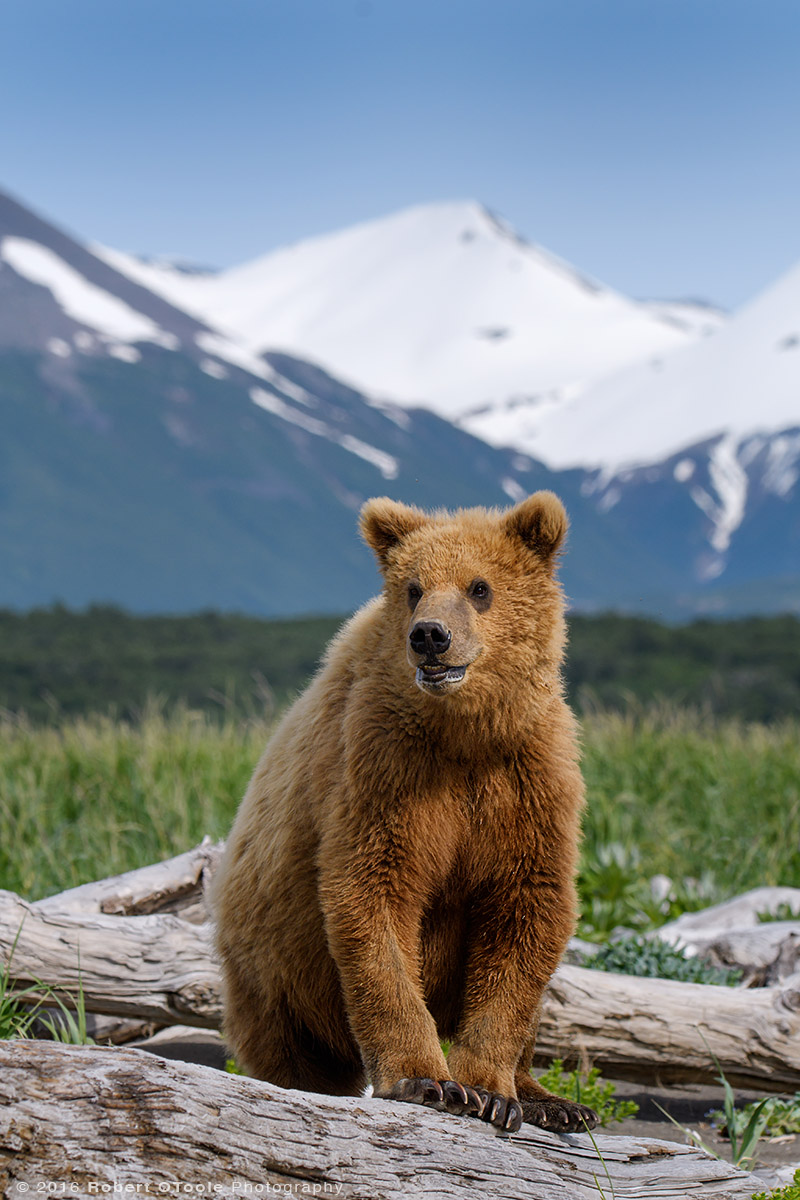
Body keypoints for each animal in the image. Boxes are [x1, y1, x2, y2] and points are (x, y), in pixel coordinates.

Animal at [212, 491, 597, 1134]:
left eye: (479, 587)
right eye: (415, 587)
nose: (430, 636)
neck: (464, 732)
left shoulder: (527, 780)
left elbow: (527, 912)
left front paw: (491, 1090)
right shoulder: (385, 769)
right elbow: (376, 898)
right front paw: (427, 1080)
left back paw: (556, 1102)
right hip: (273, 970)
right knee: (293, 1051)